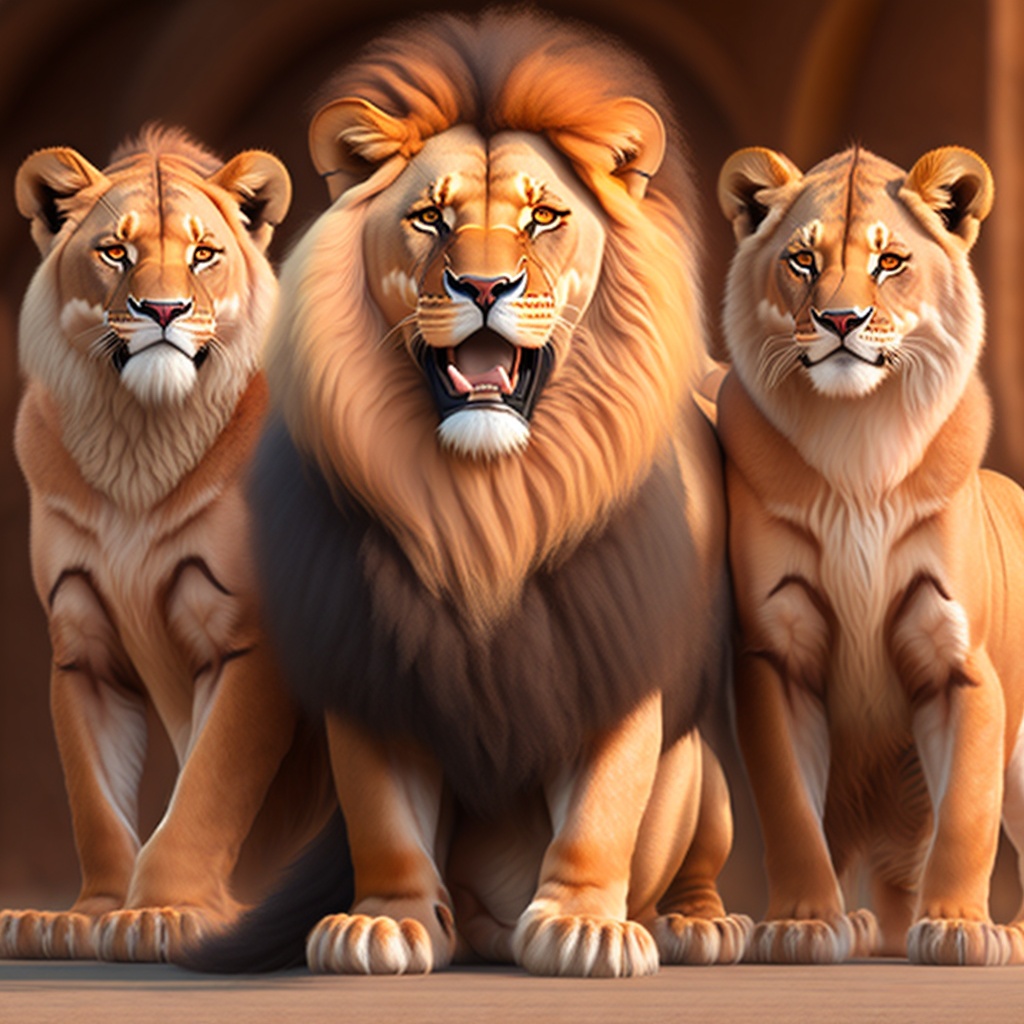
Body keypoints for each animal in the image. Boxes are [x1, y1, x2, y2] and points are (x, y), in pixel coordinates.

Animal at [2, 126, 331, 962]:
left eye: (204, 253)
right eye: (115, 252)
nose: (161, 308)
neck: (139, 442)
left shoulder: (249, 638)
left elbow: (209, 788)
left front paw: (164, 911)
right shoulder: (81, 646)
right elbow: (94, 801)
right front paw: (87, 915)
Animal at [186, 10, 748, 978]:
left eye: (545, 216)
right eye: (430, 218)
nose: (484, 287)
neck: (487, 504)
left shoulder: (617, 649)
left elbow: (603, 805)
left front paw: (584, 924)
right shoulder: (371, 654)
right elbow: (383, 815)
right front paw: (387, 923)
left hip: (706, 777)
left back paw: (697, 923)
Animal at [715, 143, 1024, 965]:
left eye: (890, 262)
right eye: (801, 260)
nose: (839, 319)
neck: (859, 442)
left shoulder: (961, 663)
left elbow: (967, 814)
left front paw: (957, 927)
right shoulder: (777, 655)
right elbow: (790, 806)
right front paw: (800, 924)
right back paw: (862, 927)